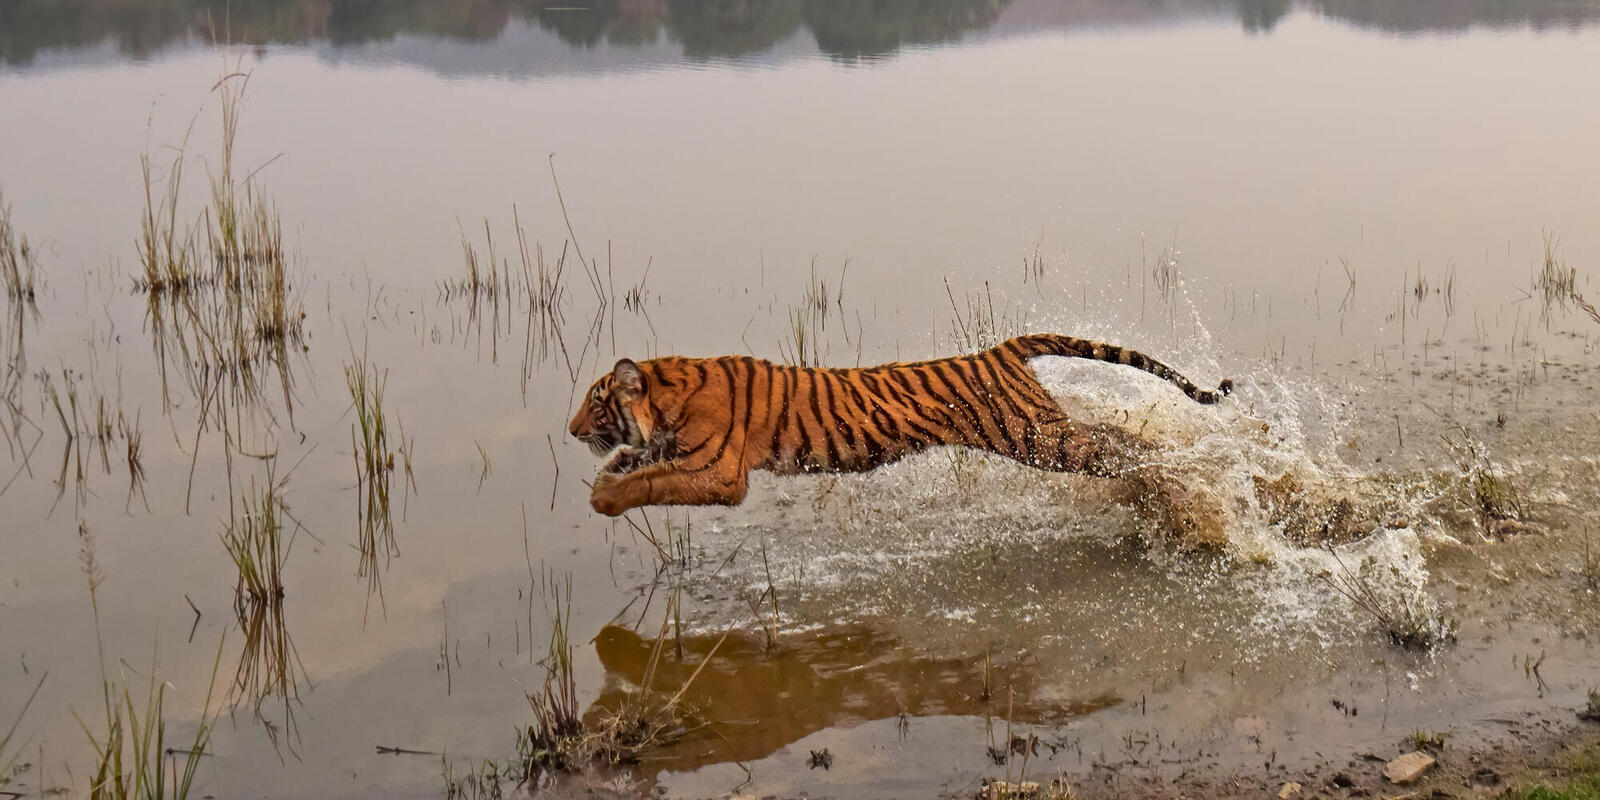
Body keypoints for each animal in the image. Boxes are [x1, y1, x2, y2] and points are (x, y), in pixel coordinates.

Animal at [568, 333, 1233, 539]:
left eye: (596, 403)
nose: (571, 431)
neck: (667, 392)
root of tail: (1002, 348)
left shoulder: (721, 473)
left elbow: (652, 483)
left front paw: (603, 499)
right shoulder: (676, 452)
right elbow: (641, 465)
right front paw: (606, 478)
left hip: (1036, 437)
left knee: (1120, 449)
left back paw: (1183, 484)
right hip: (1045, 431)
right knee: (1121, 440)